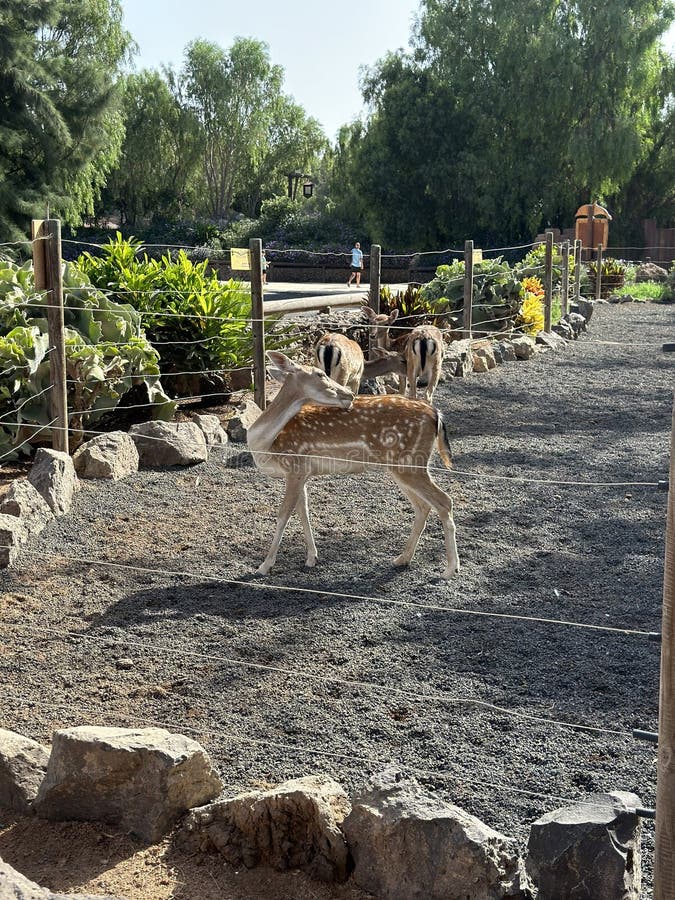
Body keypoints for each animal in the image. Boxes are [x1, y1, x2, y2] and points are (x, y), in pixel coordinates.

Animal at [246, 351, 460, 580]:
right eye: (320, 374)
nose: (348, 393)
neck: (266, 445)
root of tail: (437, 414)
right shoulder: (301, 473)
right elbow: (304, 512)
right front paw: (312, 558)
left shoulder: (295, 465)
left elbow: (283, 515)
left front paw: (264, 566)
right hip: (402, 466)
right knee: (423, 506)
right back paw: (402, 559)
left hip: (411, 462)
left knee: (444, 501)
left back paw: (450, 569)